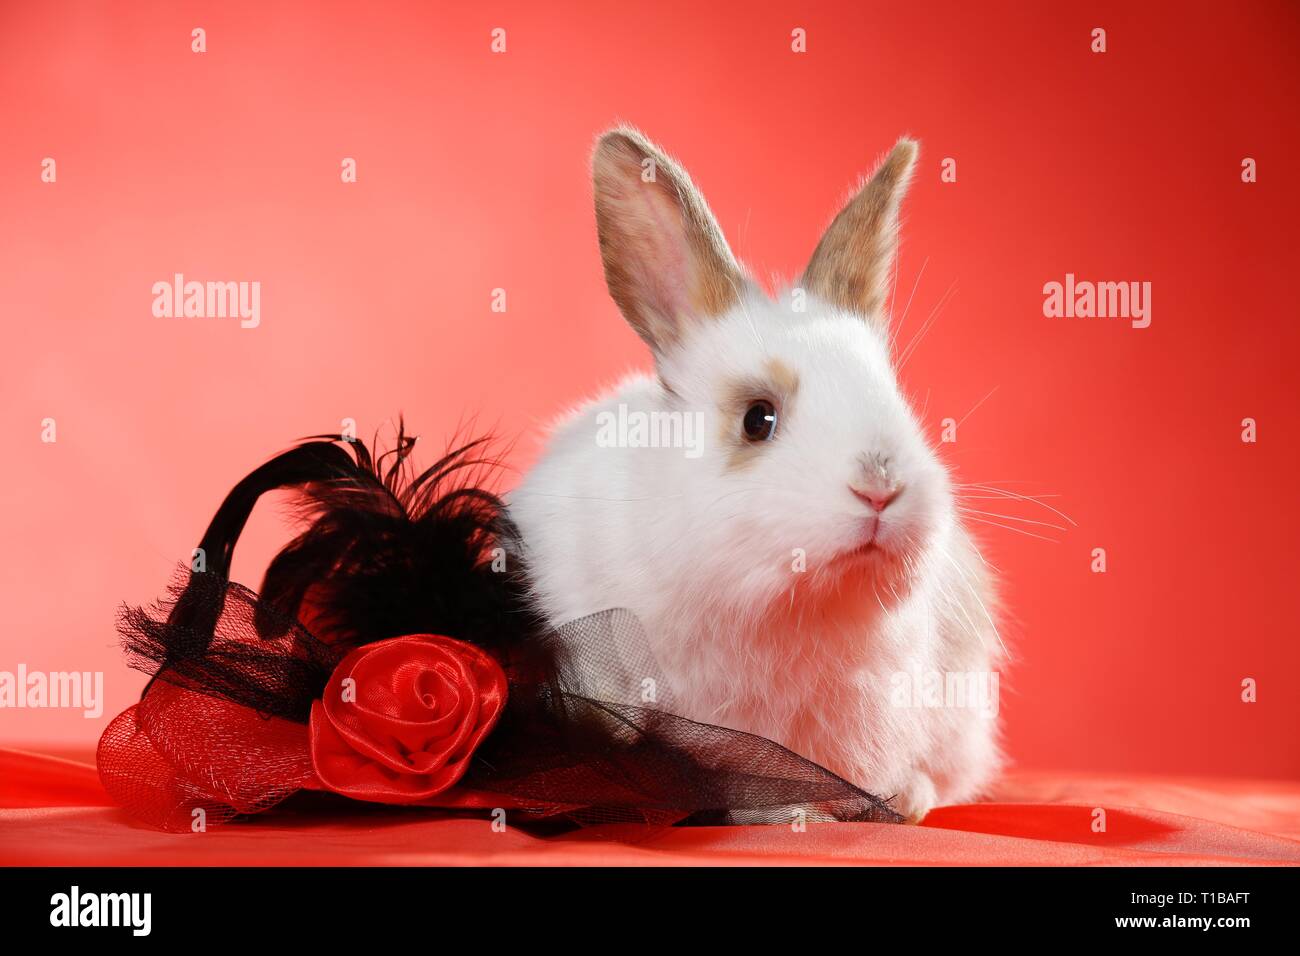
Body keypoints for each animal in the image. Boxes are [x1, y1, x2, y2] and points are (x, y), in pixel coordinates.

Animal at [507, 127, 1002, 822]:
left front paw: (899, 800)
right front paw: (781, 814)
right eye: (757, 419)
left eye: (899, 404)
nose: (880, 486)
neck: (791, 610)